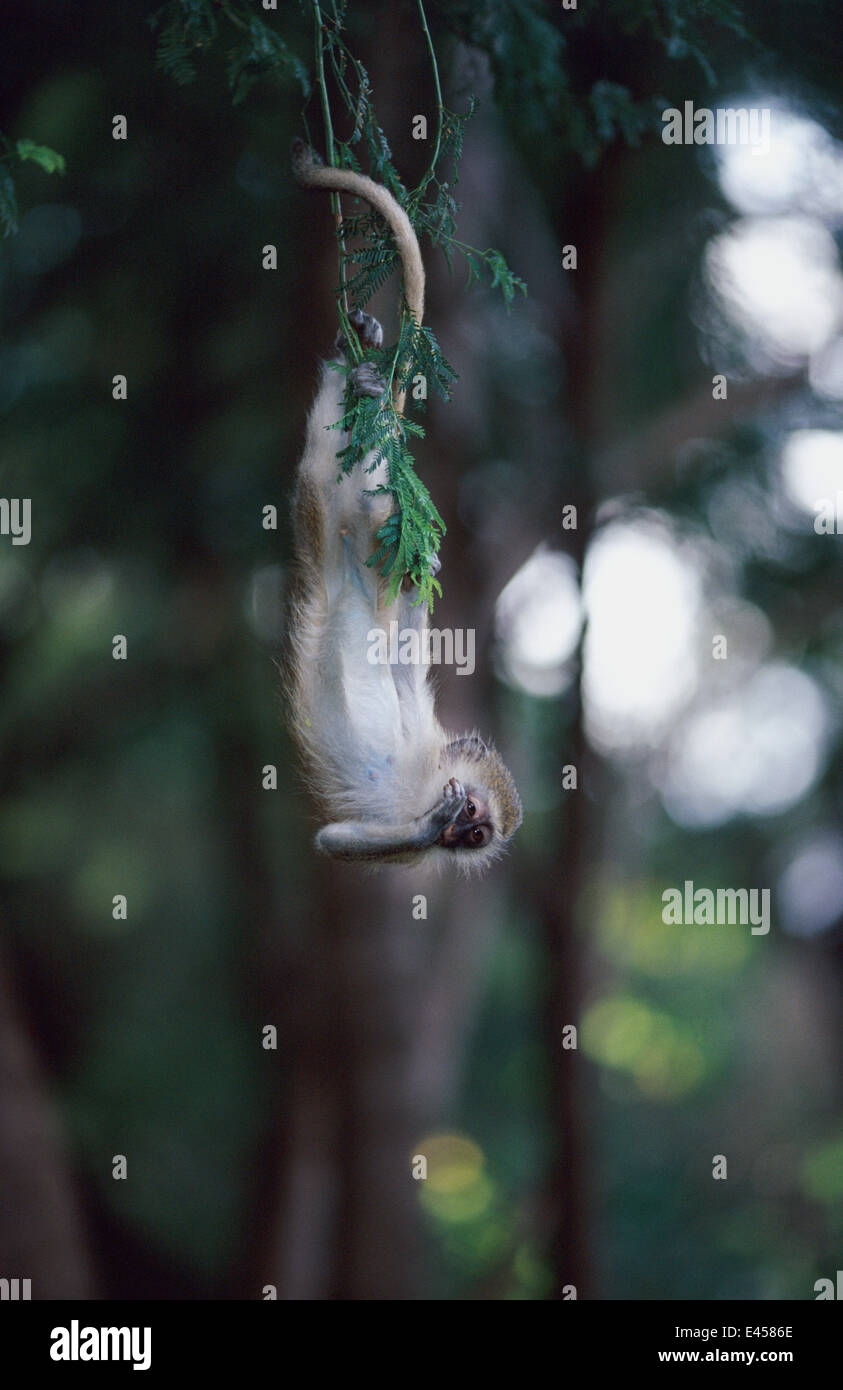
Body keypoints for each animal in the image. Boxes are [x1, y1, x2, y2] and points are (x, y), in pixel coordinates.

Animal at [284, 140, 522, 871]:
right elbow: (333, 841)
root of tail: (344, 577)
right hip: (336, 506)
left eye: (476, 835)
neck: (425, 776)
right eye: (470, 815)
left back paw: (353, 377)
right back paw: (365, 394)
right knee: (352, 482)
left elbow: (330, 841)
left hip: (326, 526)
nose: (455, 835)